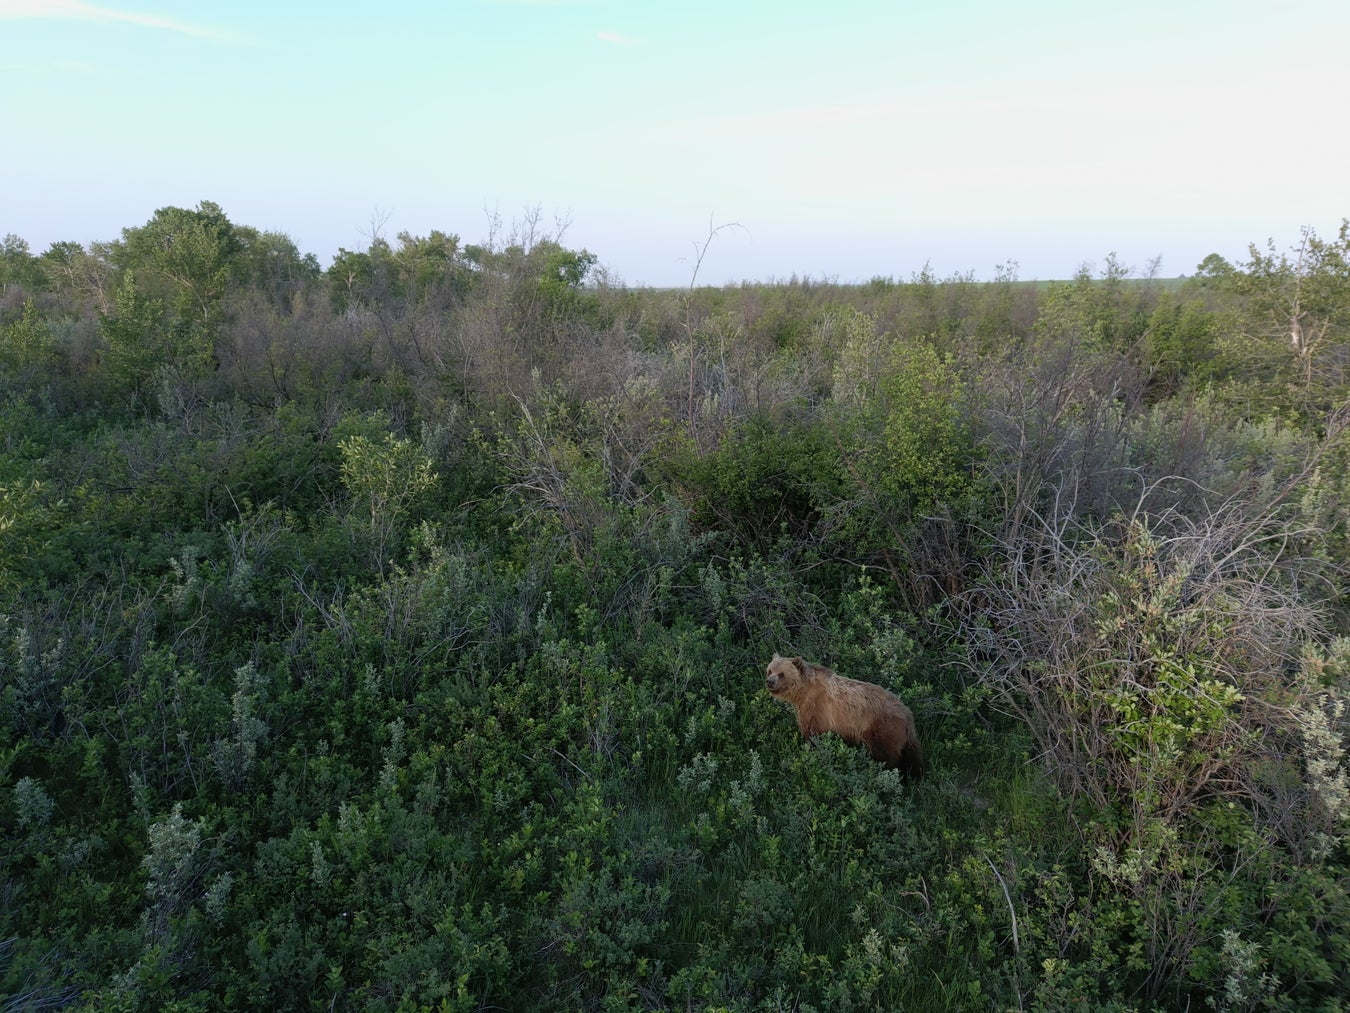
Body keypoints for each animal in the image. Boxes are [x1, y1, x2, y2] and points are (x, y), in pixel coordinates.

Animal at [765, 653, 925, 778]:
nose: (769, 682)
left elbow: (813, 736)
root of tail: (907, 715)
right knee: (914, 758)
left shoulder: (816, 708)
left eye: (781, 674)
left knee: (886, 758)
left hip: (883, 730)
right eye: (770, 670)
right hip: (907, 737)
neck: (803, 692)